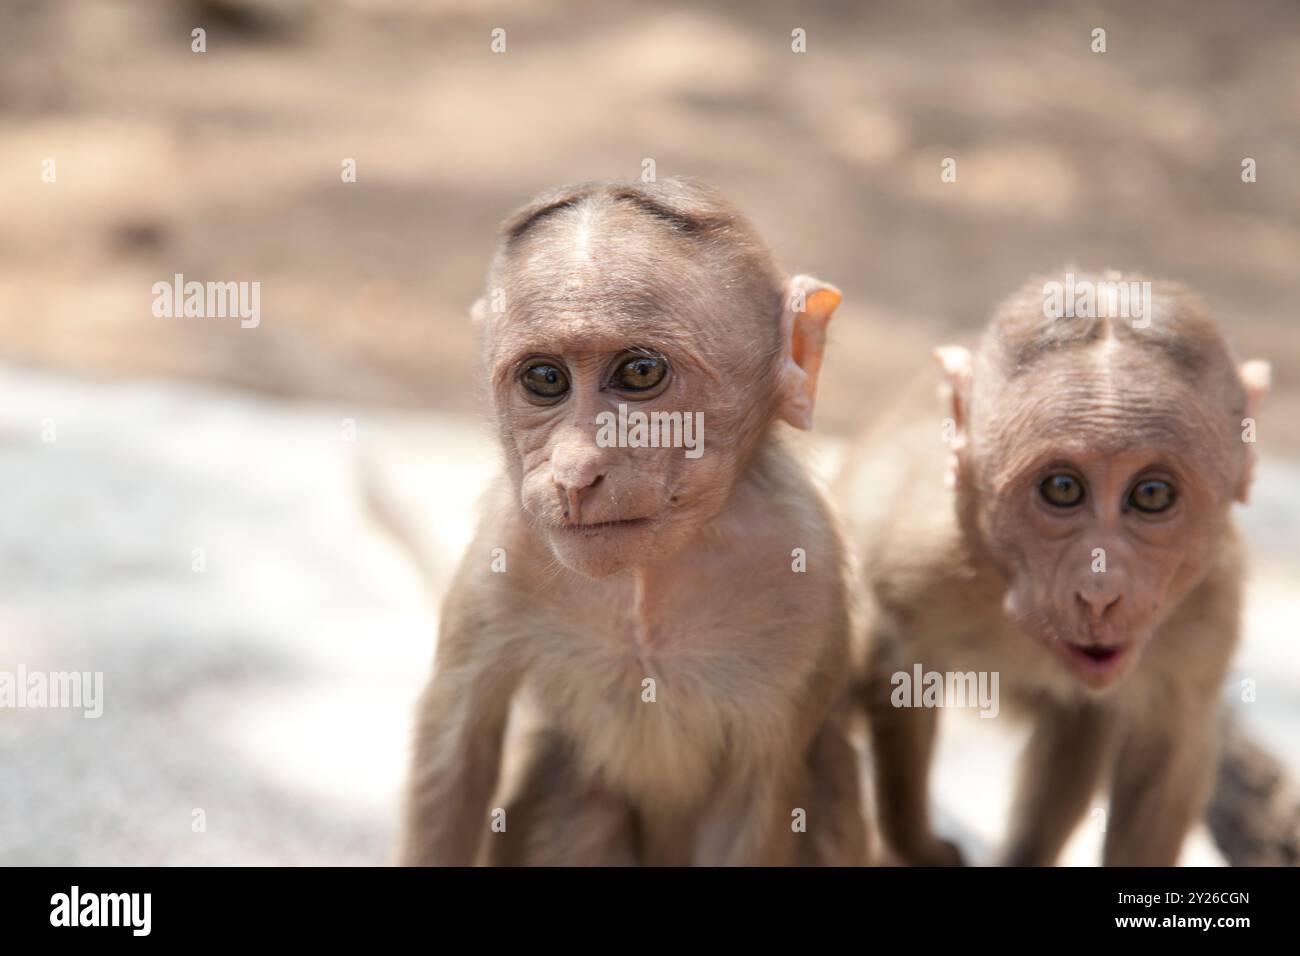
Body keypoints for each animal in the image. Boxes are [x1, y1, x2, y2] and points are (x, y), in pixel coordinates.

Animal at [399, 178, 867, 866]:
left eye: (640, 373)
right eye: (545, 378)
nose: (574, 474)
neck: (650, 573)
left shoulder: (808, 567)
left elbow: (758, 795)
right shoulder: (505, 547)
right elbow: (458, 745)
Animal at [838, 273, 1269, 866]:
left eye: (1152, 495)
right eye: (1062, 488)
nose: (1099, 592)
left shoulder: (1209, 614)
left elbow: (1166, 751)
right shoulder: (923, 553)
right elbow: (896, 662)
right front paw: (917, 844)